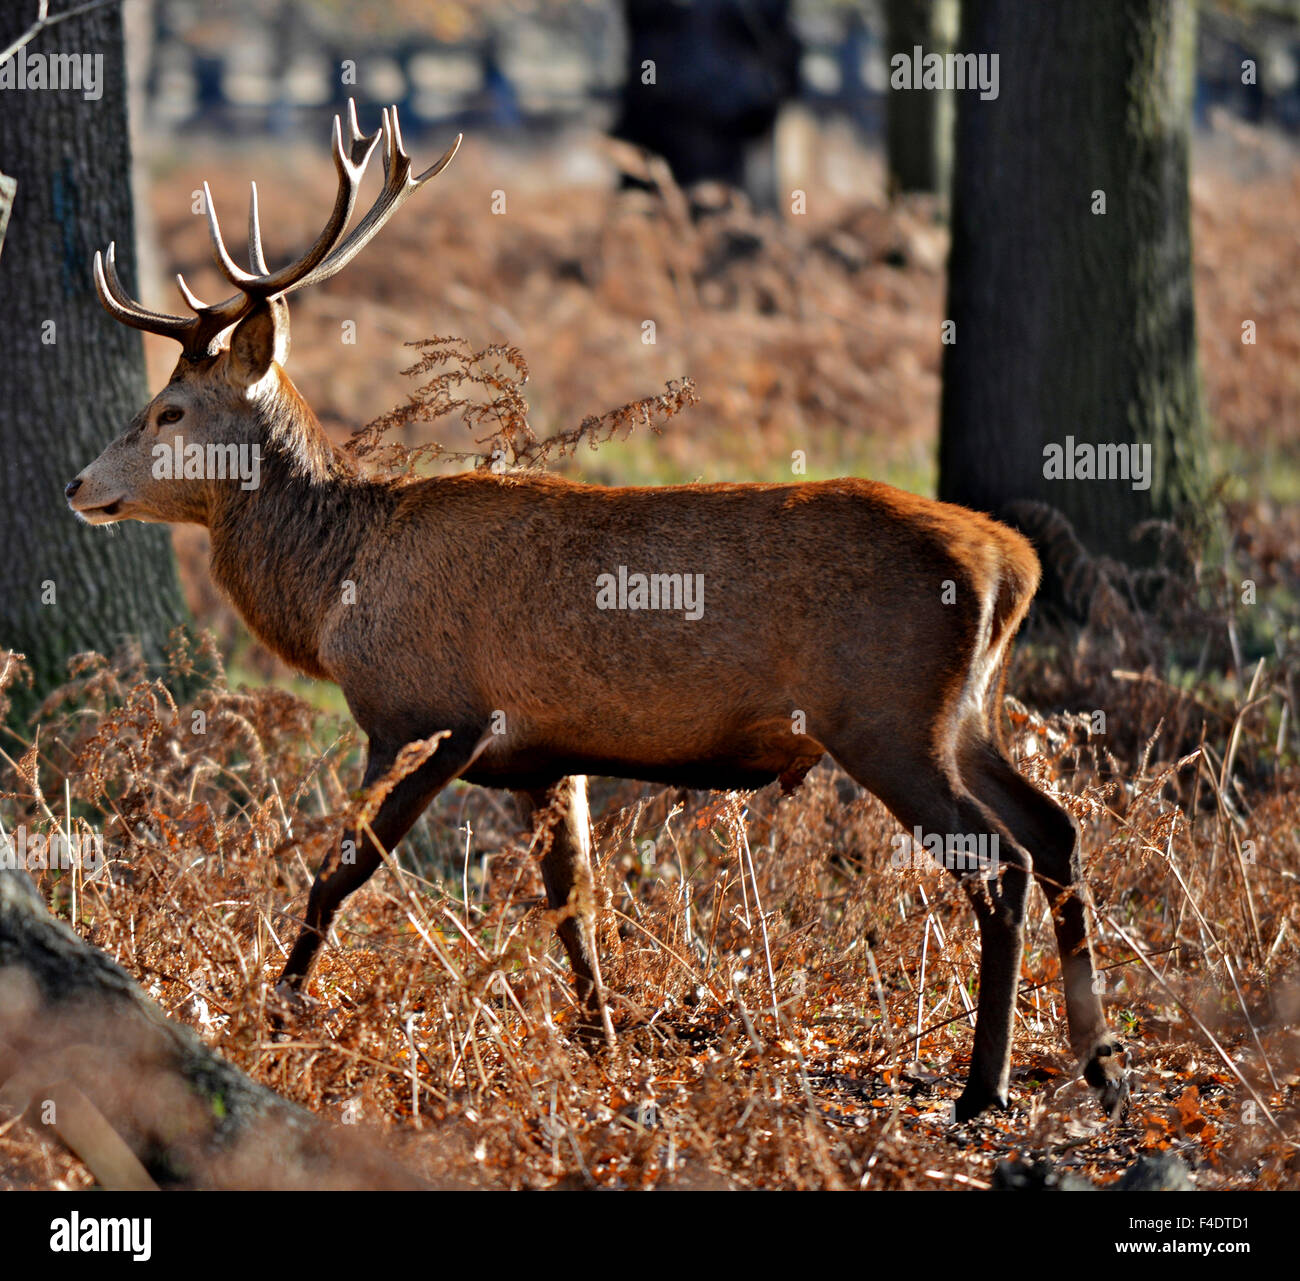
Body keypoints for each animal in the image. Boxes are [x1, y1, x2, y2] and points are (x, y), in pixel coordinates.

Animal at [65, 101, 1128, 1123]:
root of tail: (1011, 561)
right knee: (1057, 828)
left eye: (168, 411)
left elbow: (343, 870)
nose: (78, 484)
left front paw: (278, 1011)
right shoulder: (544, 755)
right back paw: (1100, 1068)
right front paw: (604, 1047)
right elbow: (574, 901)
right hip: (965, 711)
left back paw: (984, 1088)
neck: (335, 591)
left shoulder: (429, 713)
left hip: (885, 713)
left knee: (1001, 861)